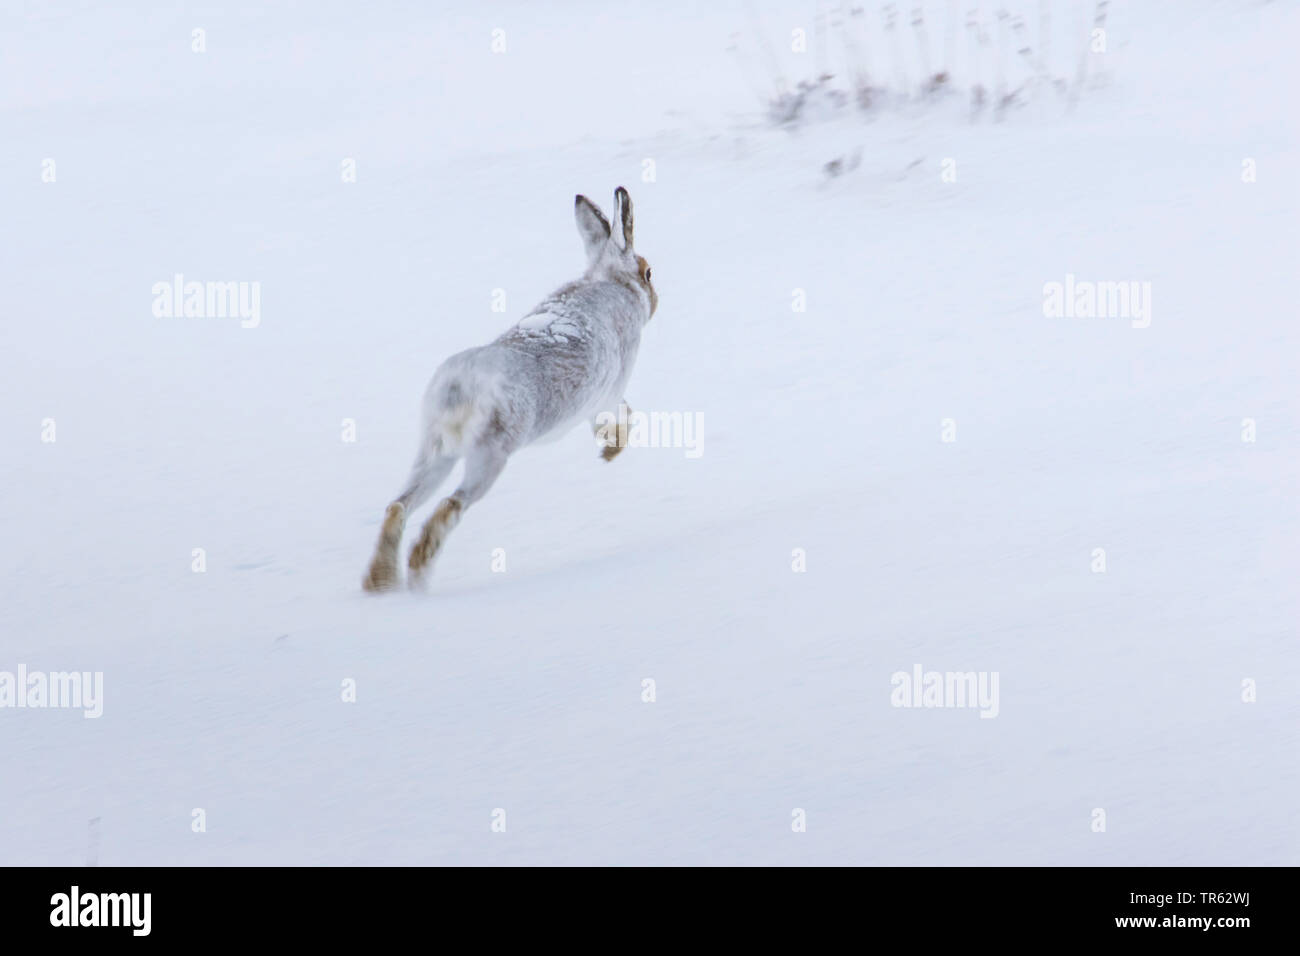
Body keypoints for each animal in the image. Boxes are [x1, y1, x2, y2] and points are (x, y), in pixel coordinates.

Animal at [362, 187, 657, 592]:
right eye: (648, 272)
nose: (656, 300)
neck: (612, 282)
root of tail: (461, 388)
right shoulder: (609, 393)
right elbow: (624, 415)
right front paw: (610, 451)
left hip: (435, 450)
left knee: (399, 506)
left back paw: (380, 582)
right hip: (491, 452)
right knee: (450, 506)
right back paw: (418, 573)